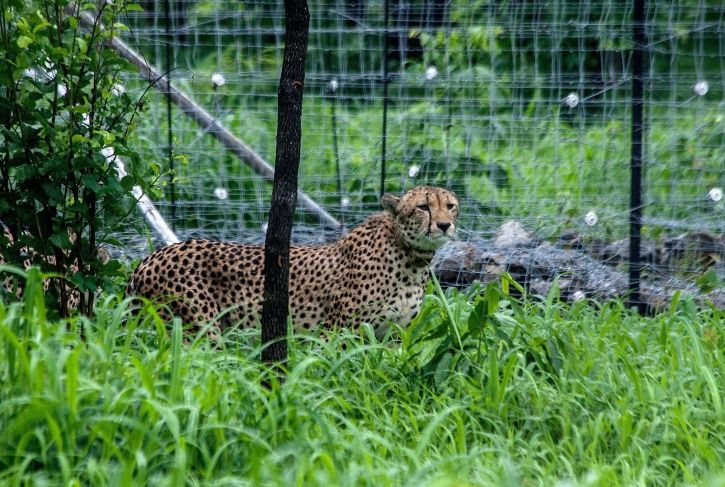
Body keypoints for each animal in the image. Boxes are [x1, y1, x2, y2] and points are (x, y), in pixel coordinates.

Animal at [126, 186, 459, 338]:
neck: (412, 259)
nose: (445, 225)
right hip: (198, 330)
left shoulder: (392, 336)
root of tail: (149, 258)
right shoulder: (336, 334)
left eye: (451, 206)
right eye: (423, 207)